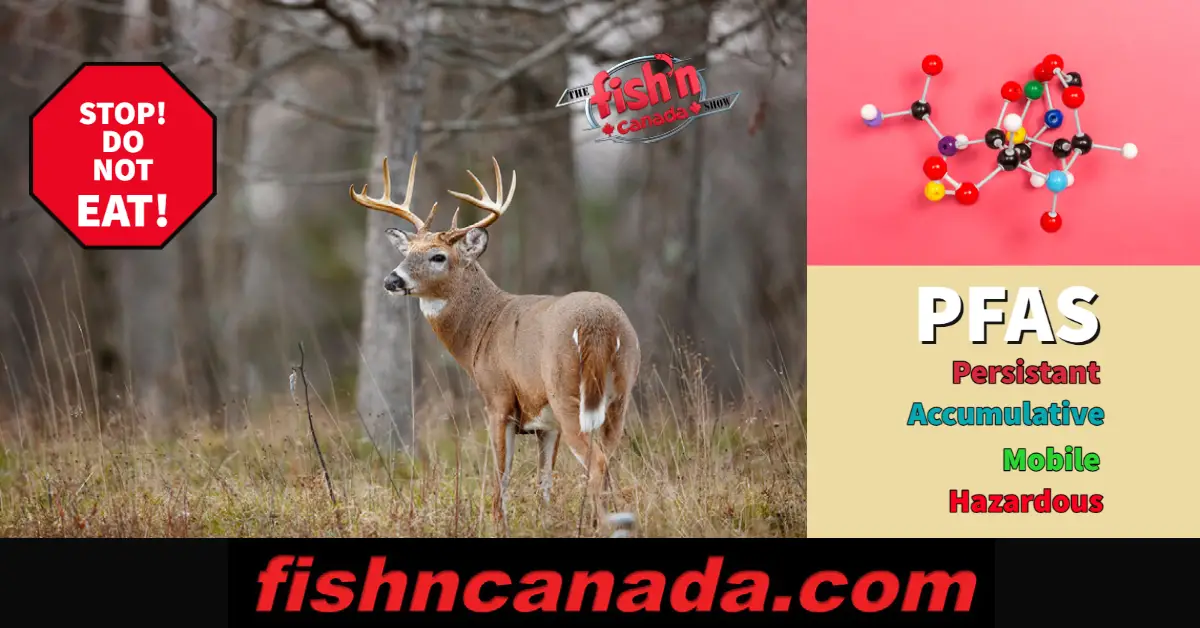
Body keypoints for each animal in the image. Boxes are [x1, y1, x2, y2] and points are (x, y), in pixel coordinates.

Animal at [349, 153, 640, 533]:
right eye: (408, 250)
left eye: (438, 256)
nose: (391, 280)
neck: (483, 328)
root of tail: (599, 326)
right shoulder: (545, 422)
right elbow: (544, 480)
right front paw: (544, 522)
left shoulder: (498, 398)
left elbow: (501, 473)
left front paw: (496, 523)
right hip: (619, 396)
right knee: (609, 459)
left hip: (567, 392)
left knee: (598, 463)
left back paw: (604, 525)